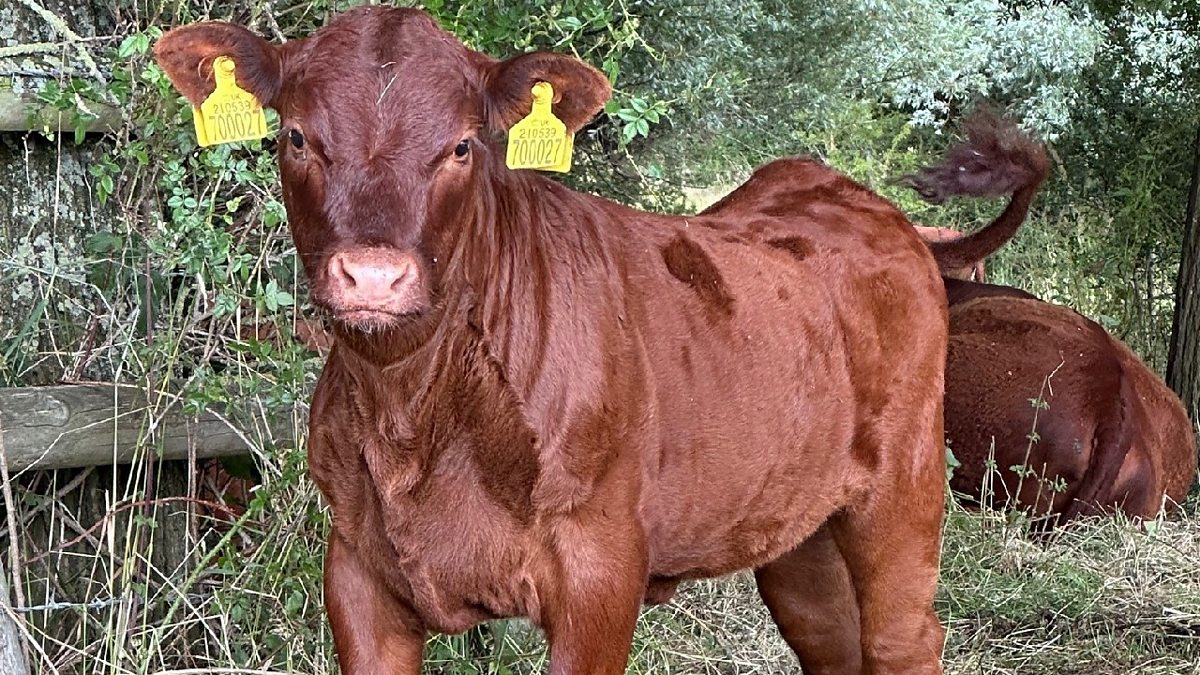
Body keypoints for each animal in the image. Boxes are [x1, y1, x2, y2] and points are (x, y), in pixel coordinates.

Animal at [154, 7, 1046, 674]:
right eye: (296, 137)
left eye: (462, 144)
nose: (373, 276)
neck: (415, 418)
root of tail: (872, 207)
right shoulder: (358, 573)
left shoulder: (599, 572)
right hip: (798, 525)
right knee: (834, 641)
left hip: (904, 488)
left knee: (904, 639)